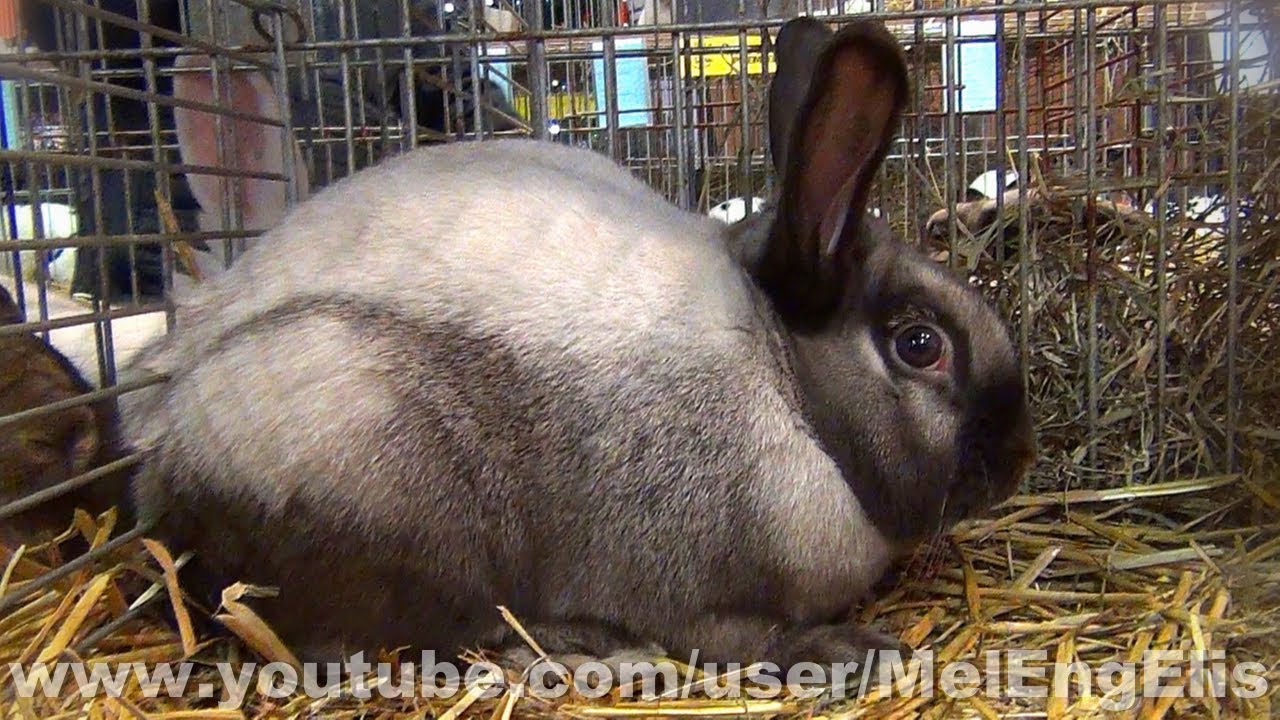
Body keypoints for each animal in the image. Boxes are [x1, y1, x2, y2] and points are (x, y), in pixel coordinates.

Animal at [121, 17, 1035, 673]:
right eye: (920, 344)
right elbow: (737, 639)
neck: (788, 388)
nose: (1017, 459)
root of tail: (166, 445)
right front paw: (844, 649)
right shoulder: (696, 591)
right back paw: (580, 640)